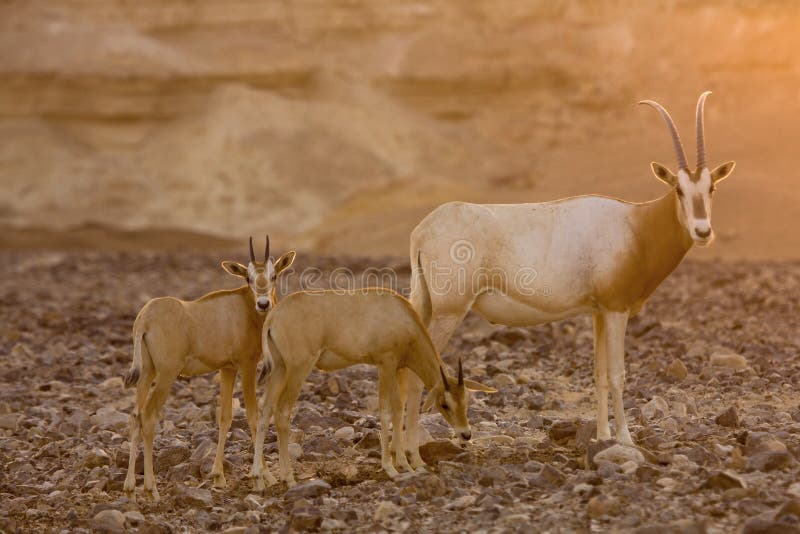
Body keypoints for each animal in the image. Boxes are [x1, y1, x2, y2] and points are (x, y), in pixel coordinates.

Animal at [122, 236, 296, 500]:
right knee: (148, 416)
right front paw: (264, 477)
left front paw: (218, 476)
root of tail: (145, 318)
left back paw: (130, 489)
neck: (244, 308)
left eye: (274, 275)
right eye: (248, 278)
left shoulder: (227, 369)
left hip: (147, 374)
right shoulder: (247, 366)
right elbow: (253, 417)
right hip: (166, 375)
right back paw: (152, 490)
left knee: (135, 416)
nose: (263, 303)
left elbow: (225, 417)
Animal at [249, 288, 495, 490]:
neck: (401, 315)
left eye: (466, 400)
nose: (465, 434)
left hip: (279, 369)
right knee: (282, 412)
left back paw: (261, 477)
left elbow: (397, 411)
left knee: (265, 409)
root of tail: (274, 316)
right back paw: (288, 478)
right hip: (298, 369)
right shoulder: (385, 363)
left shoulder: (397, 367)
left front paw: (406, 465)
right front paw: (391, 469)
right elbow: (385, 412)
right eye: (444, 404)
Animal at [401, 92, 735, 463]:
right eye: (678, 189)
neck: (636, 225)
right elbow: (617, 374)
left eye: (712, 187)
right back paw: (412, 455)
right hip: (449, 311)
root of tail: (423, 231)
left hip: (425, 306)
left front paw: (602, 437)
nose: (703, 231)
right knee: (414, 375)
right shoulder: (617, 310)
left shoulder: (598, 313)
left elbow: (599, 373)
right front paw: (626, 440)